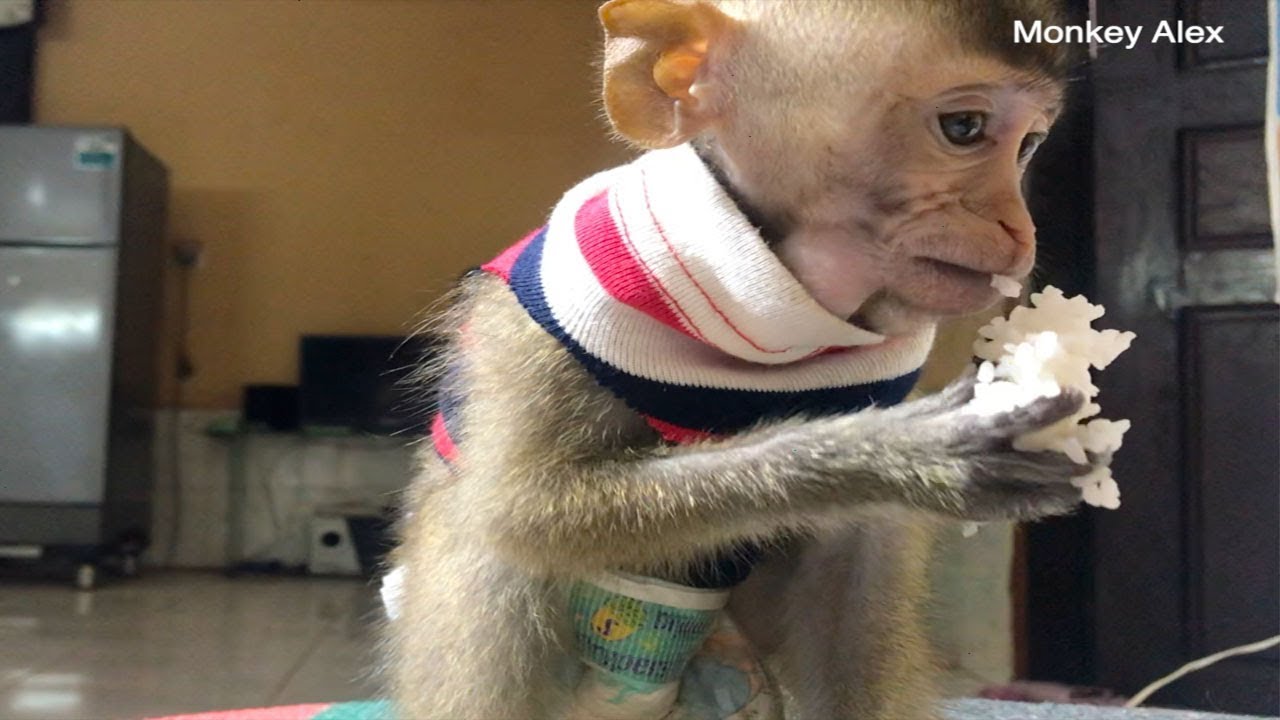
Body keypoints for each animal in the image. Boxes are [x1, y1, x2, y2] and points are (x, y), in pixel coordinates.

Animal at [382, 1, 1085, 718]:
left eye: (1028, 144)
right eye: (964, 128)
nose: (1018, 229)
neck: (773, 290)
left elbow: (859, 544)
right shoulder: (553, 310)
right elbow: (519, 510)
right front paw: (898, 457)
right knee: (493, 563)